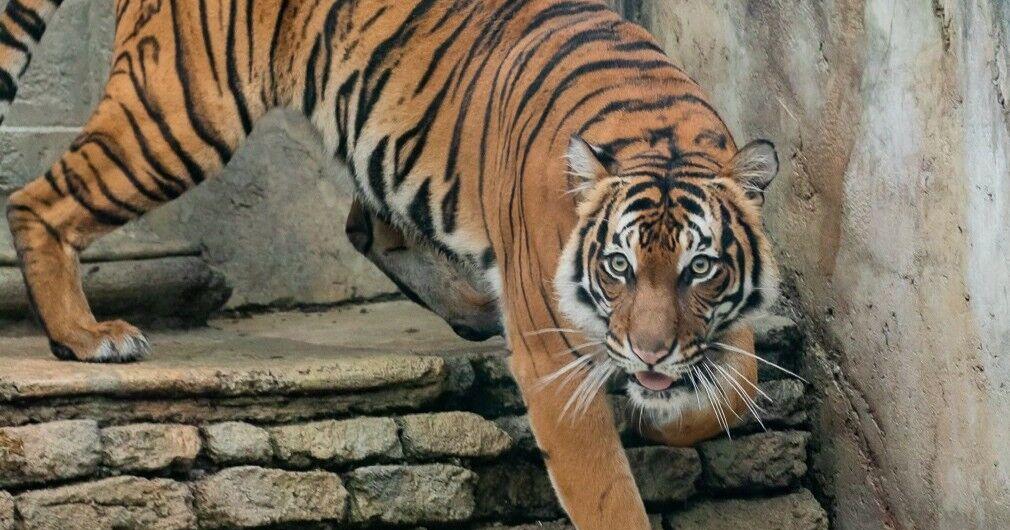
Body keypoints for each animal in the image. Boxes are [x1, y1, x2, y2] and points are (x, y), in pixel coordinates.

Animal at [1, 0, 781, 528]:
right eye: (617, 266)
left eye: (700, 269)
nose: (650, 354)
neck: (658, 133)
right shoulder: (551, 358)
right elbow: (606, 492)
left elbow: (735, 386)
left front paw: (665, 410)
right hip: (180, 110)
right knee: (37, 199)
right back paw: (85, 337)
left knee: (366, 225)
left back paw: (476, 308)